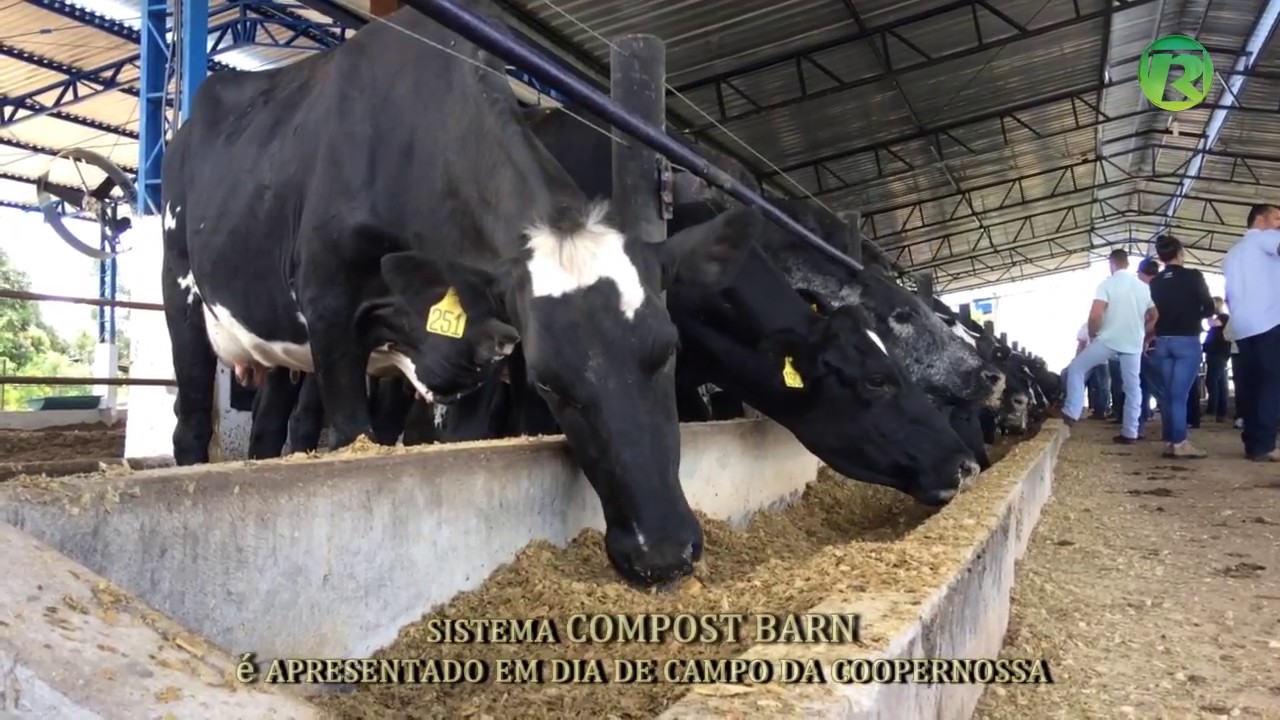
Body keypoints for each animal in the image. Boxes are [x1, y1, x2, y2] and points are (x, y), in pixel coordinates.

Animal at [160, 2, 759, 587]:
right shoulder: (328, 306)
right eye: (547, 381)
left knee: (269, 425)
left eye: (669, 348)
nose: (663, 554)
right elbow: (353, 432)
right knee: (191, 421)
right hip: (180, 285)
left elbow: (461, 439)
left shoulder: (485, 341)